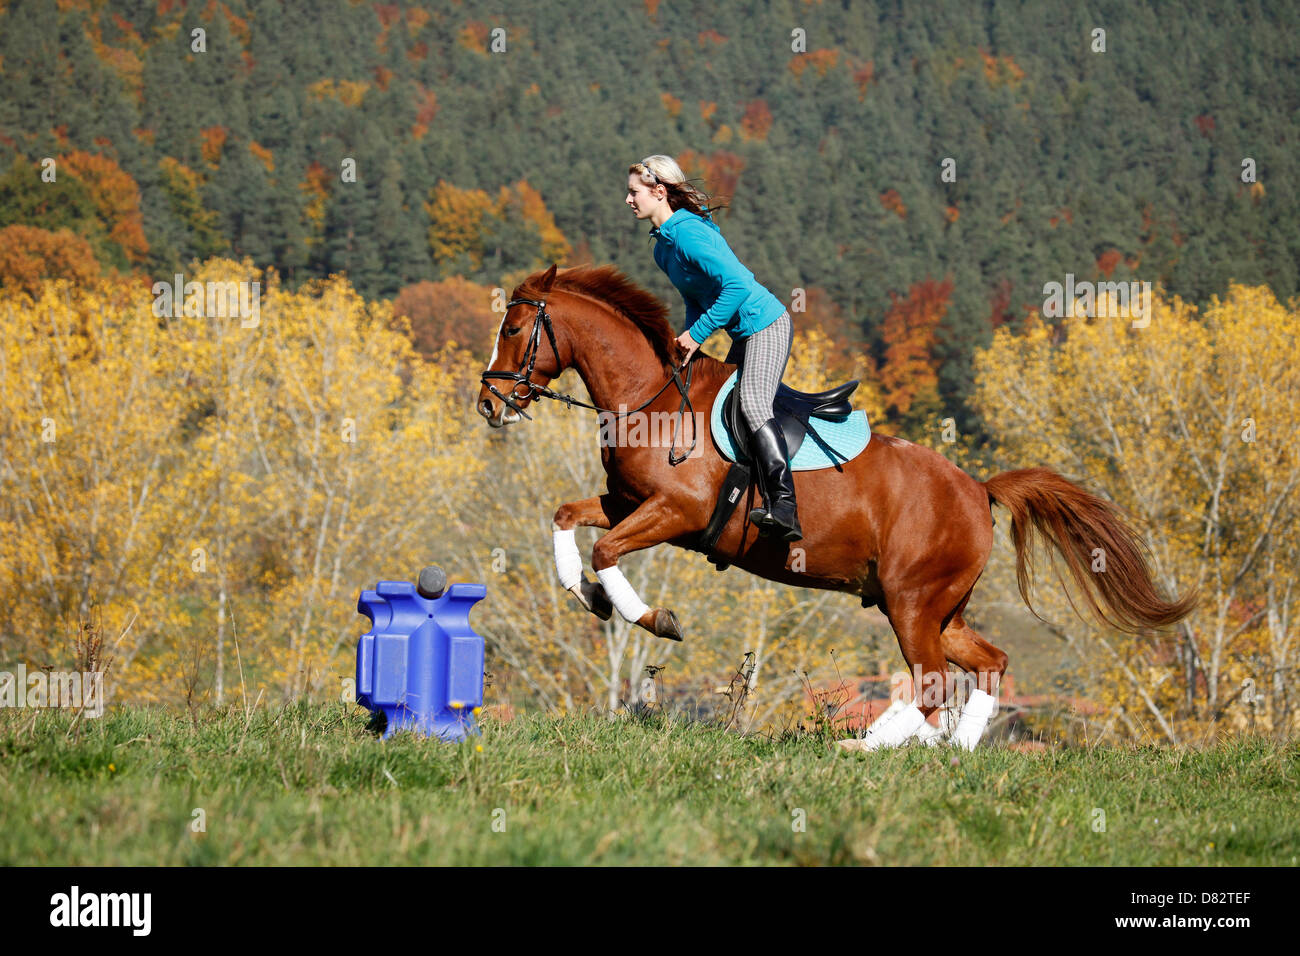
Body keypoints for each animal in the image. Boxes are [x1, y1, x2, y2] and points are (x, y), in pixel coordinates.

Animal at [475, 263, 1196, 748]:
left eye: (513, 327)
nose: (487, 402)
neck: (651, 397)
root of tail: (977, 488)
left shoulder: (676, 512)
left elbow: (606, 547)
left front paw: (652, 618)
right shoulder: (627, 501)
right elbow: (568, 517)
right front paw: (586, 593)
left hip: (912, 601)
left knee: (930, 682)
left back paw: (869, 749)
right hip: (938, 608)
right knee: (986, 664)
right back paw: (951, 753)